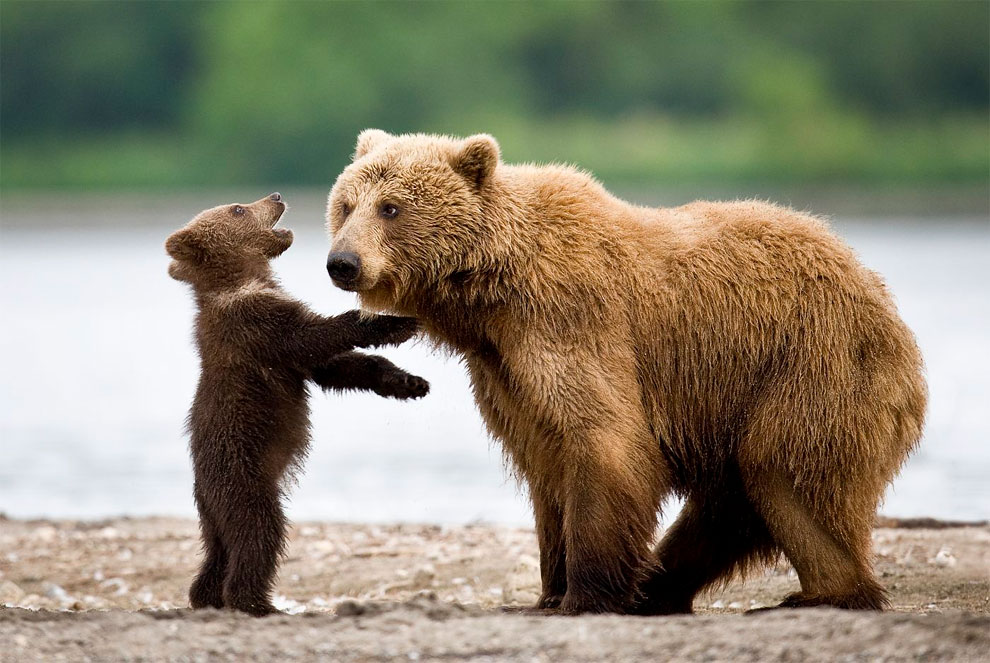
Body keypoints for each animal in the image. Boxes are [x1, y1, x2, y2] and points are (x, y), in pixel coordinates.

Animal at [166, 192, 429, 616]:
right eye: (238, 208)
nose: (275, 196)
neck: (241, 281)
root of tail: (204, 489)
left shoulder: (281, 349)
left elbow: (334, 367)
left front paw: (410, 382)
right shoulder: (256, 326)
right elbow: (313, 337)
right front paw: (392, 322)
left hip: (212, 510)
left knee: (218, 551)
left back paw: (205, 597)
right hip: (244, 479)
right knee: (259, 534)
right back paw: (257, 603)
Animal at [323, 130, 927, 615]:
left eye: (391, 208)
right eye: (346, 204)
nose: (342, 262)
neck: (487, 292)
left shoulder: (568, 320)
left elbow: (604, 438)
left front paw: (583, 596)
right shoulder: (504, 367)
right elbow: (546, 459)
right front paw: (549, 590)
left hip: (810, 365)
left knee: (785, 474)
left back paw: (822, 592)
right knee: (733, 503)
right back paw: (661, 586)